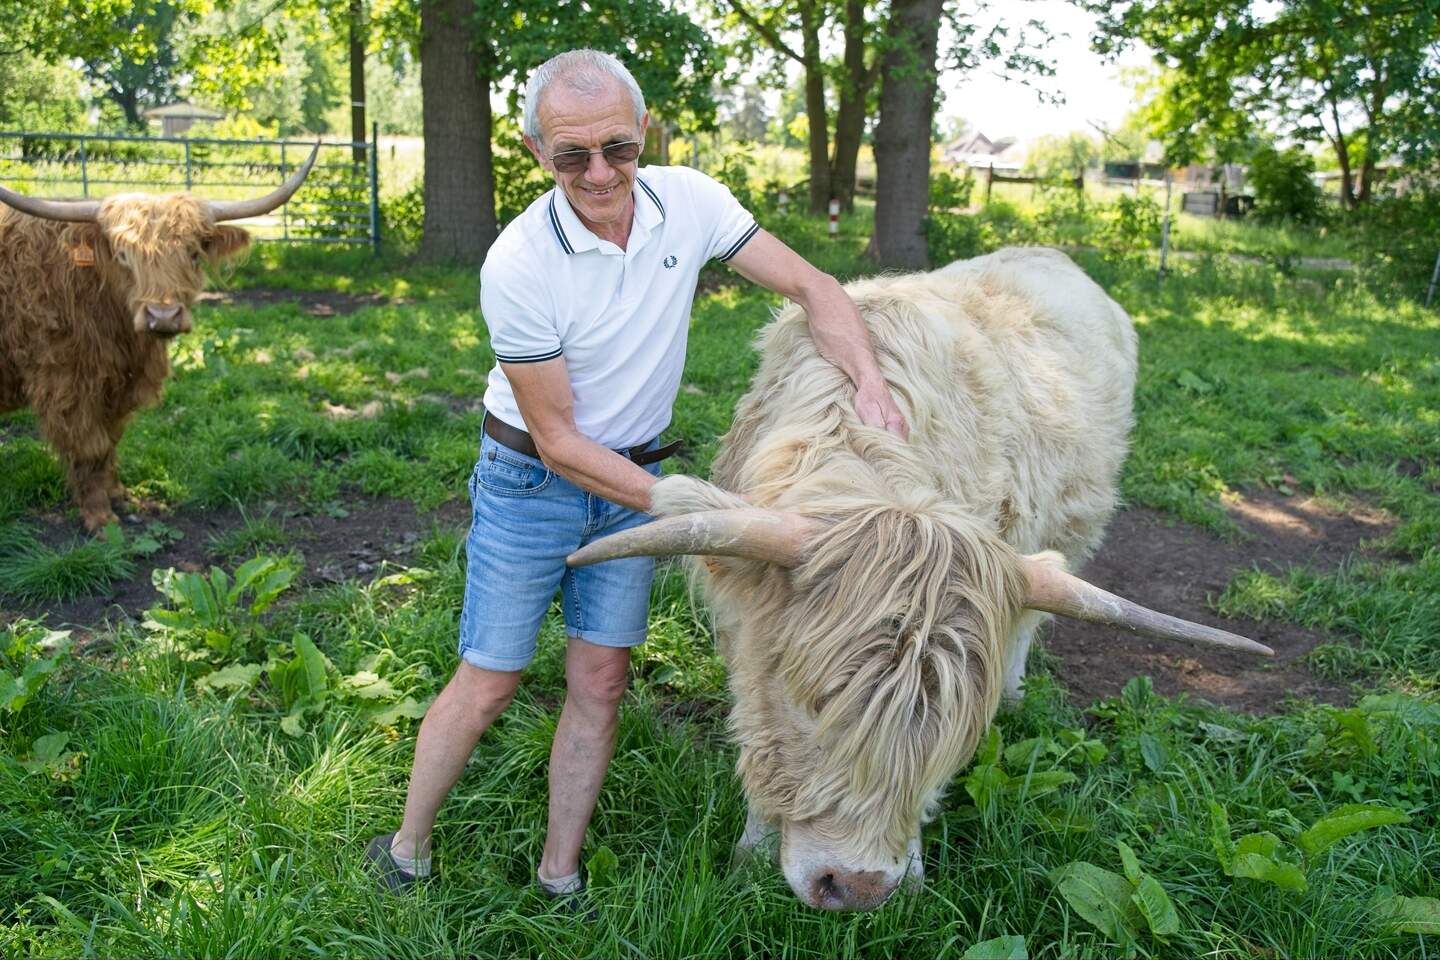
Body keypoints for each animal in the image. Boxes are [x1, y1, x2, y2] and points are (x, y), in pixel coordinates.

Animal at [0, 147, 317, 531]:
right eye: (123, 255)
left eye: (194, 252)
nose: (163, 316)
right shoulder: (65, 381)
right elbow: (90, 446)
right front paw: (100, 518)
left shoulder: (117, 384)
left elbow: (111, 439)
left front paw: (119, 494)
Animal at [567, 247, 1272, 911]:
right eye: (811, 702)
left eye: (957, 733)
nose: (857, 888)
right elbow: (758, 732)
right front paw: (752, 849)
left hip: (1071, 531)